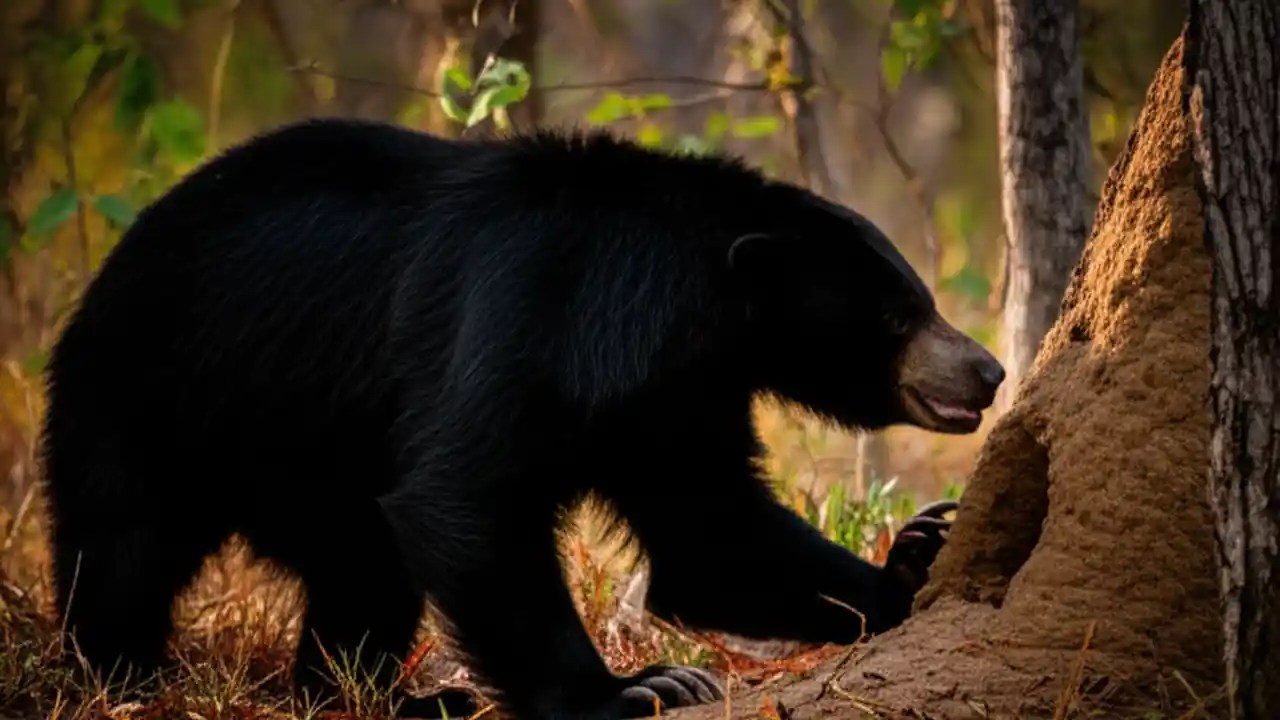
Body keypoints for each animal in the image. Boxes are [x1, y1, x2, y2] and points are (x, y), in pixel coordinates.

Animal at [40, 117, 1004, 720]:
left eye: (919, 300)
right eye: (898, 317)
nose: (988, 371)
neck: (674, 313)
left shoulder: (674, 396)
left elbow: (711, 531)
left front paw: (919, 554)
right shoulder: (528, 312)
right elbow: (468, 496)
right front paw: (641, 687)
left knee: (363, 571)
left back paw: (396, 696)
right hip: (149, 390)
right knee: (124, 545)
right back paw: (122, 675)